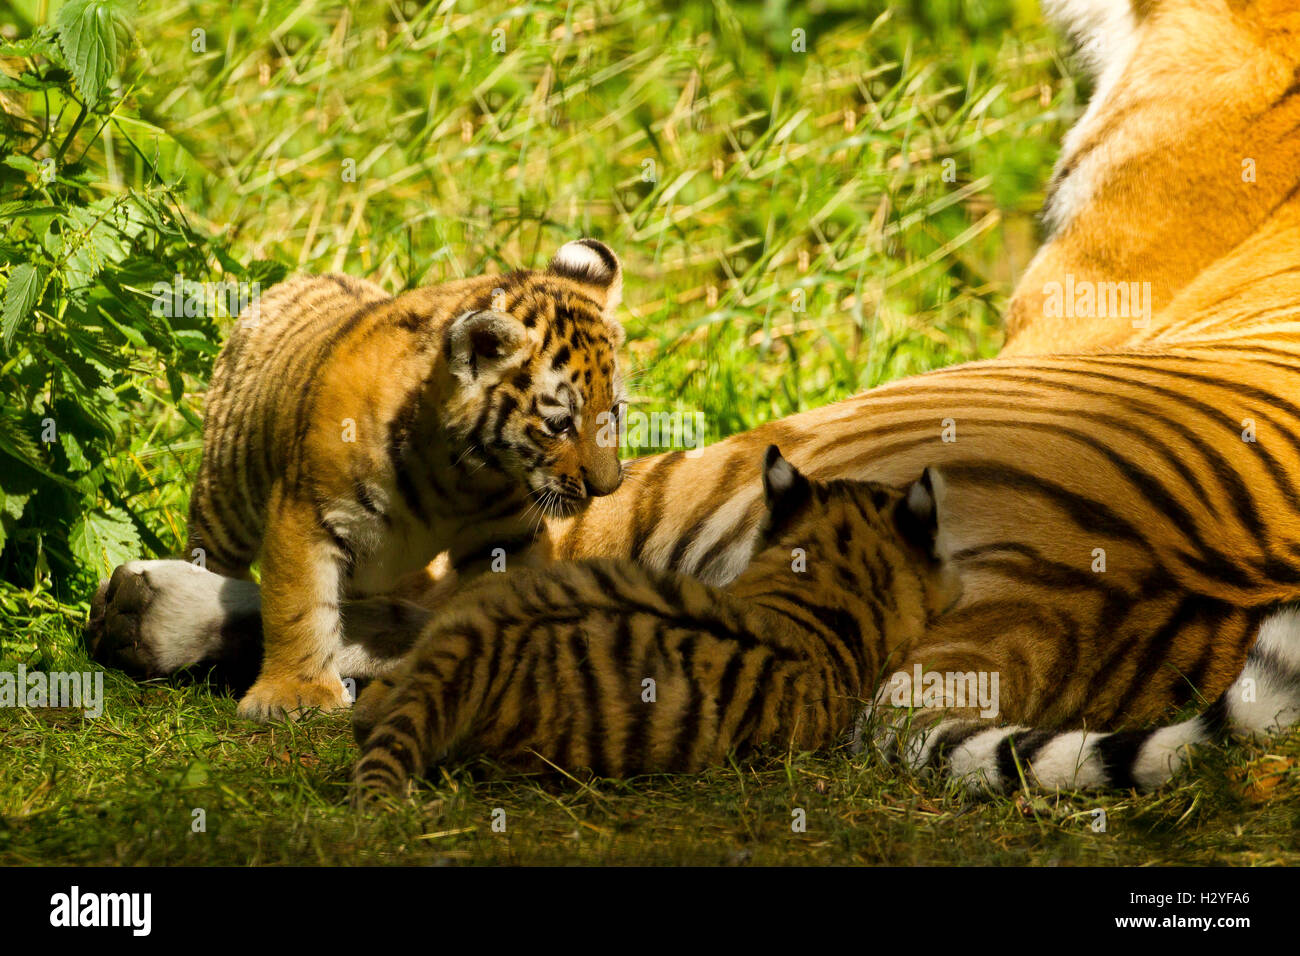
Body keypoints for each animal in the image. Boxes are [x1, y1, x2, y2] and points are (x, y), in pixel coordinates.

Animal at [176, 238, 629, 721]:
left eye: (614, 412)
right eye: (560, 424)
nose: (607, 488)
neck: (460, 475)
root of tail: (299, 279)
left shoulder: (506, 536)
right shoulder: (306, 514)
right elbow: (300, 605)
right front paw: (295, 694)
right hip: (227, 496)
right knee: (212, 553)